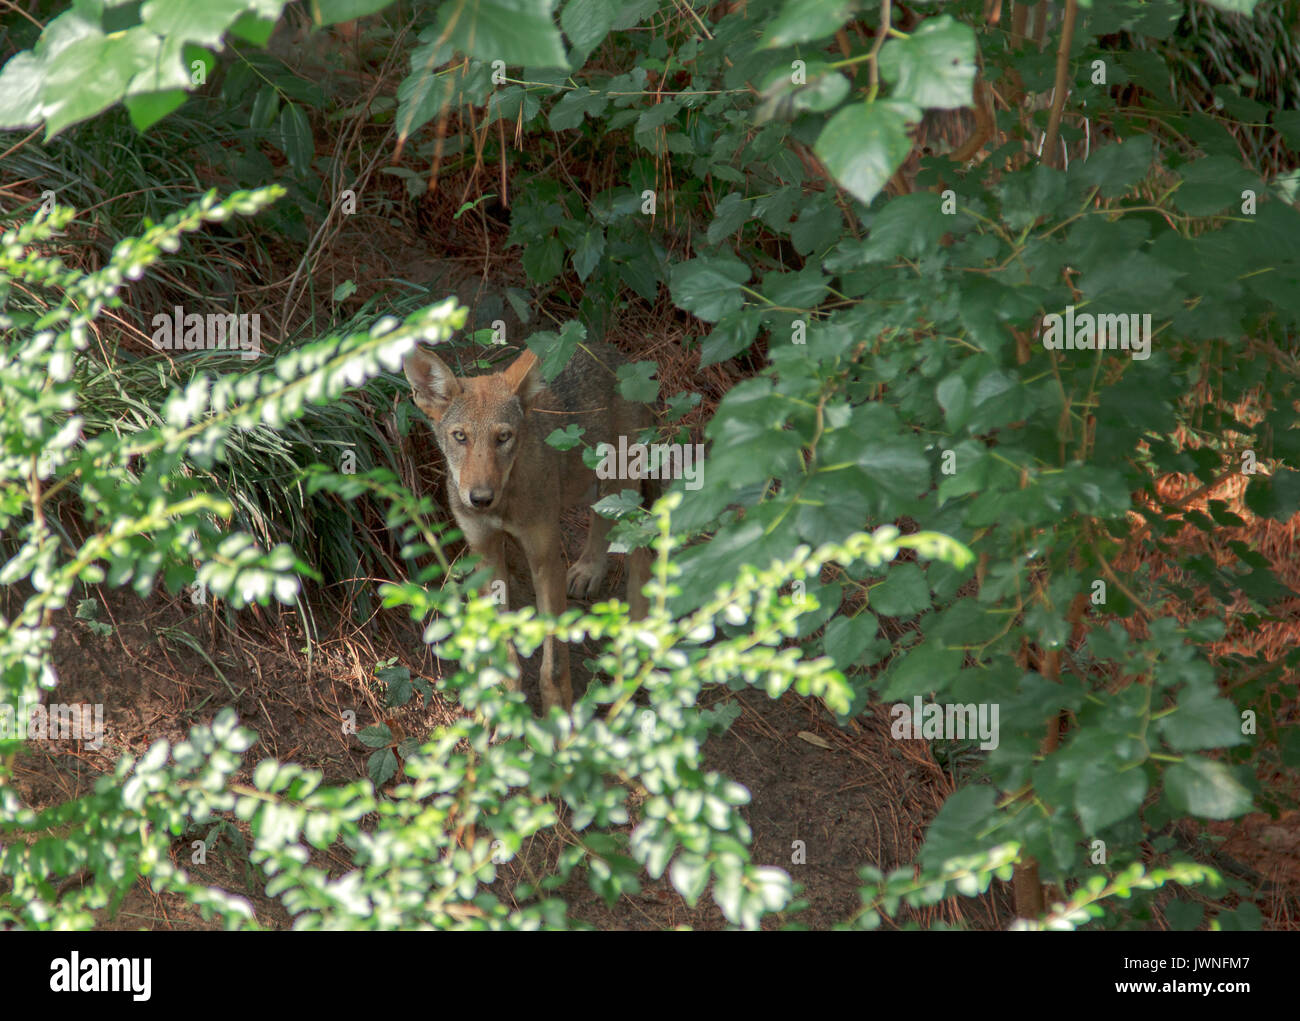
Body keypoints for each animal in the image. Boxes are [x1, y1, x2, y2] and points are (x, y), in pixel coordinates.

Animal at [404, 340, 655, 712]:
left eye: (503, 437)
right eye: (460, 436)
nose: (480, 498)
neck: (505, 504)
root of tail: (612, 354)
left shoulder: (545, 559)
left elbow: (554, 664)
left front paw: (558, 715)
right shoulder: (486, 554)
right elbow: (503, 650)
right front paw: (504, 705)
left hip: (621, 489)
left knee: (641, 556)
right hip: (592, 487)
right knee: (601, 522)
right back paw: (589, 570)